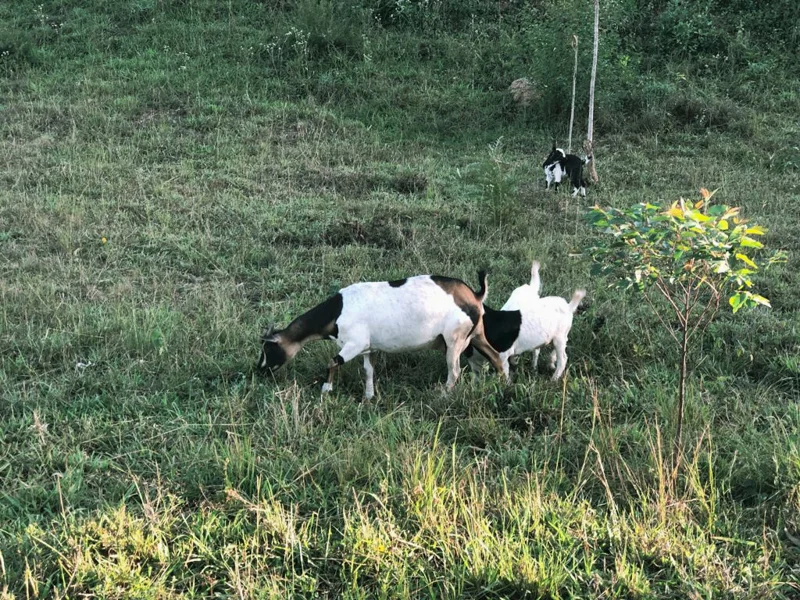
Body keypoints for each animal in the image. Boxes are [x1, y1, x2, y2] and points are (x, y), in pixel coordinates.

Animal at [257, 272, 508, 399]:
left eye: (268, 349)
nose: (259, 370)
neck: (337, 311)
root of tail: (474, 295)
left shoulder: (355, 343)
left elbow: (332, 362)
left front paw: (326, 389)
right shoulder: (369, 347)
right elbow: (368, 371)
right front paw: (369, 397)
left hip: (454, 339)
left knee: (454, 371)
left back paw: (443, 395)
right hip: (475, 334)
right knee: (497, 358)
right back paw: (505, 385)